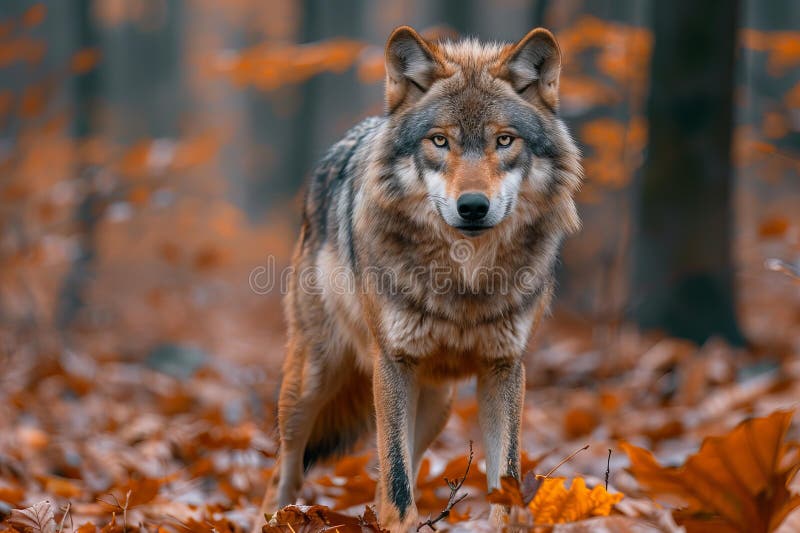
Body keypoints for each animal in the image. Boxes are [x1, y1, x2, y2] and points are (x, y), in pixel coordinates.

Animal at [254, 25, 582, 532]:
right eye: (440, 141)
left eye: (504, 141)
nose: (473, 207)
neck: (463, 281)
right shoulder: (393, 364)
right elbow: (397, 483)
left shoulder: (505, 369)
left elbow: (504, 485)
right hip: (310, 385)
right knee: (283, 470)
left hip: (436, 407)